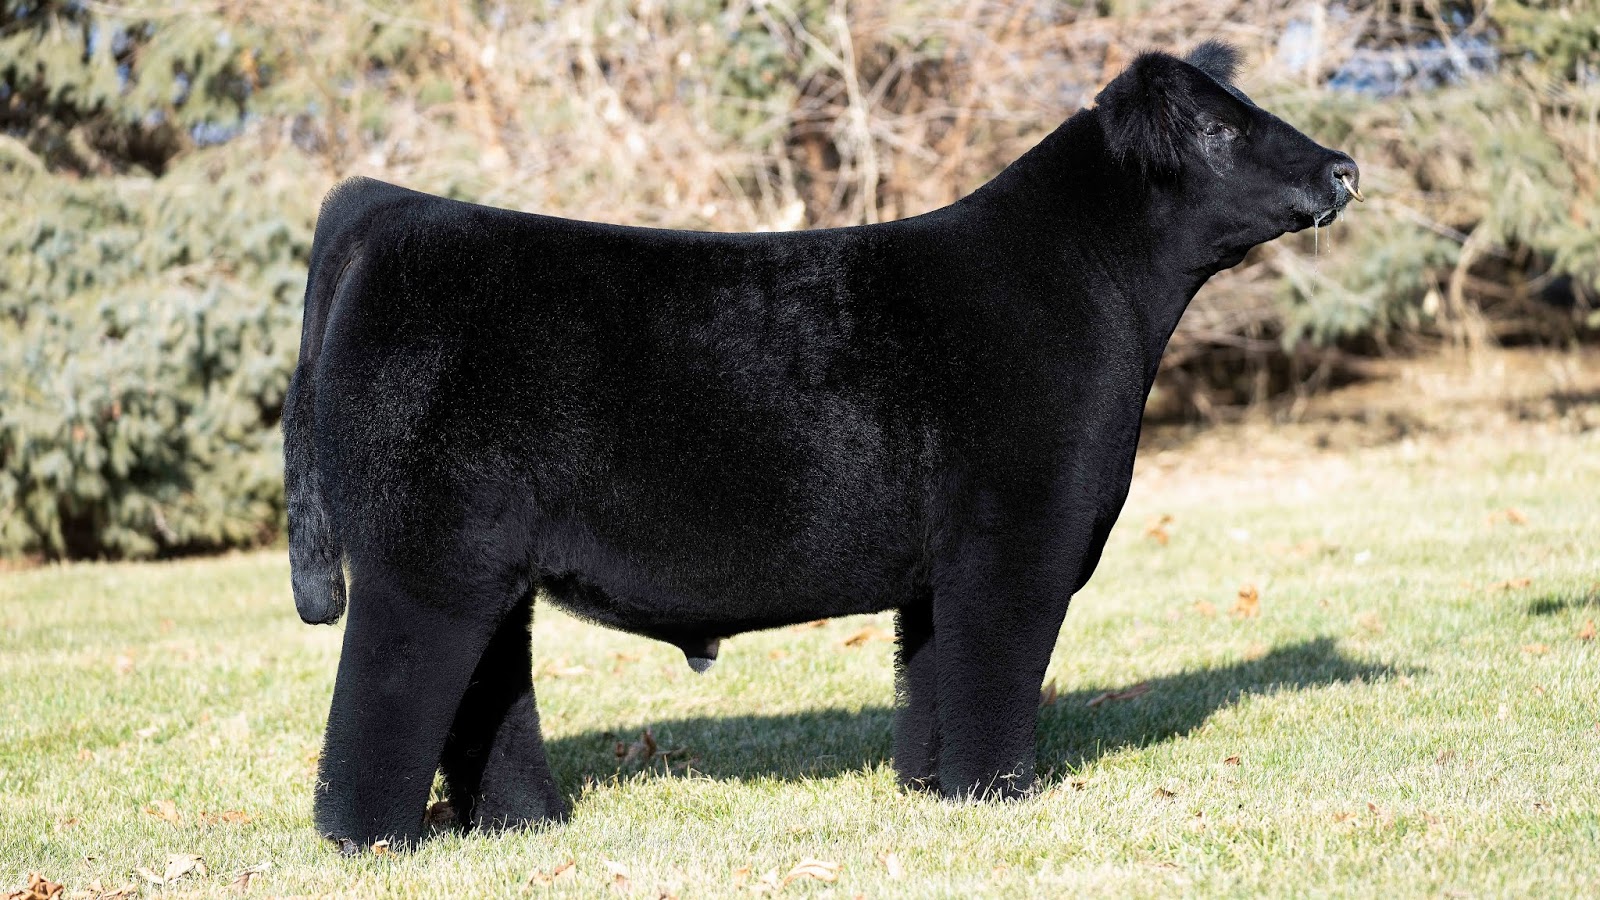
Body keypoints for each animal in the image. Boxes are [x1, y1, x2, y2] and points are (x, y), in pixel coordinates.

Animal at [283, 40, 1360, 852]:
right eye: (1220, 130)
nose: (1342, 167)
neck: (1090, 291)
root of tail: (393, 209)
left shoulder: (941, 565)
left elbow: (933, 676)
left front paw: (934, 791)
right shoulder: (1017, 536)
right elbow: (997, 667)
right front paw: (1002, 795)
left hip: (484, 562)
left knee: (486, 688)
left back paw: (525, 826)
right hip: (424, 553)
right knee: (392, 682)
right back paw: (372, 841)